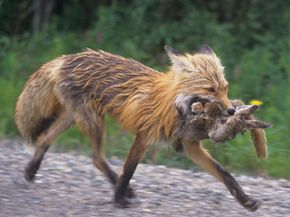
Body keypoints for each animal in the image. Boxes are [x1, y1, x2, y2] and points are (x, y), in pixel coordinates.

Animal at [13, 45, 268, 210]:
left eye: (225, 88)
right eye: (210, 89)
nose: (232, 111)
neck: (174, 106)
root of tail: (65, 58)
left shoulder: (190, 145)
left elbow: (225, 174)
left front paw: (245, 200)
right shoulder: (145, 137)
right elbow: (129, 170)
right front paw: (118, 200)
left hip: (73, 119)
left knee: (45, 138)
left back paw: (31, 170)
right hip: (93, 122)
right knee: (96, 158)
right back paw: (121, 190)